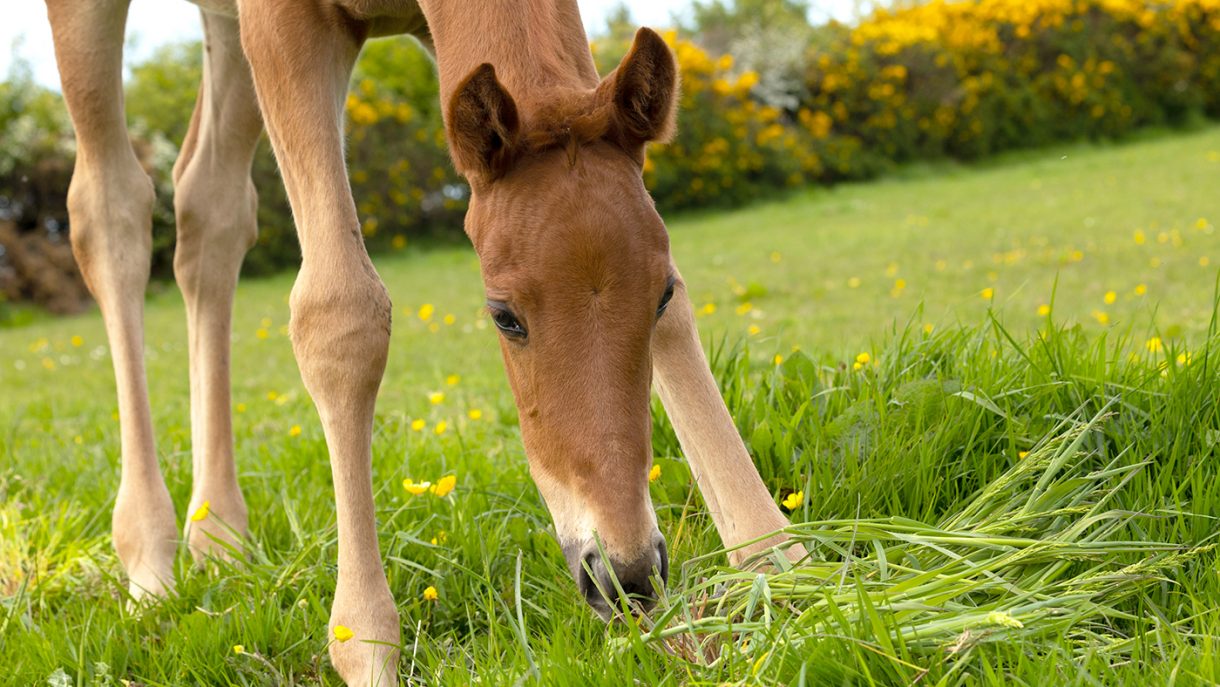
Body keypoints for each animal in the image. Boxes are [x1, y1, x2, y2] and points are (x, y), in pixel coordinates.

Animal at [43, 0, 804, 683]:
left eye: (660, 296)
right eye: (504, 316)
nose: (625, 575)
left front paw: (782, 572)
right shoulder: (282, 23)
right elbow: (340, 313)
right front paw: (364, 646)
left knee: (211, 207)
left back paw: (219, 535)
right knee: (108, 208)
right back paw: (151, 558)